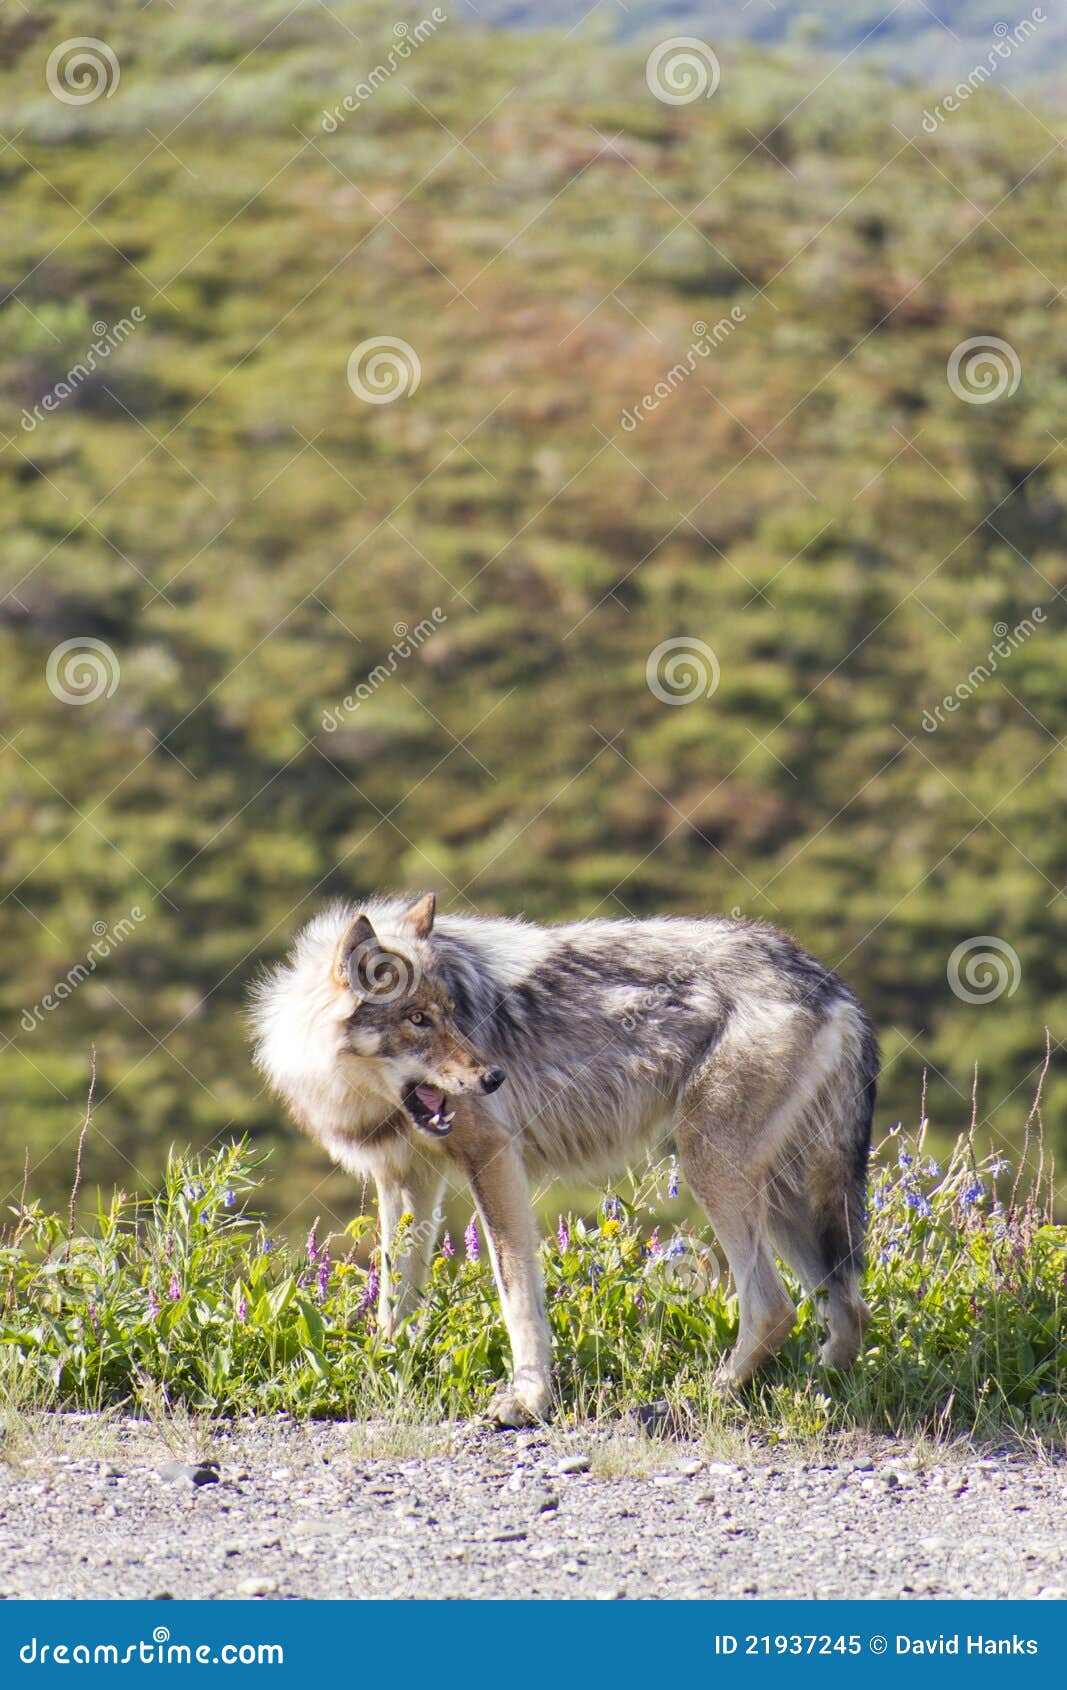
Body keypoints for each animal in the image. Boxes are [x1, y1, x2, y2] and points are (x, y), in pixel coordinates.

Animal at [251, 894, 878, 1426]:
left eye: (451, 1013)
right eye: (418, 1019)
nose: (493, 1077)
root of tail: (828, 982)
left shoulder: (494, 1158)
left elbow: (517, 1294)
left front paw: (527, 1398)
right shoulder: (407, 1180)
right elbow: (395, 1298)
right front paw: (387, 1367)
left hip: (713, 1170)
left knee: (775, 1309)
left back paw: (706, 1396)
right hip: (783, 1199)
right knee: (847, 1308)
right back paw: (819, 1387)